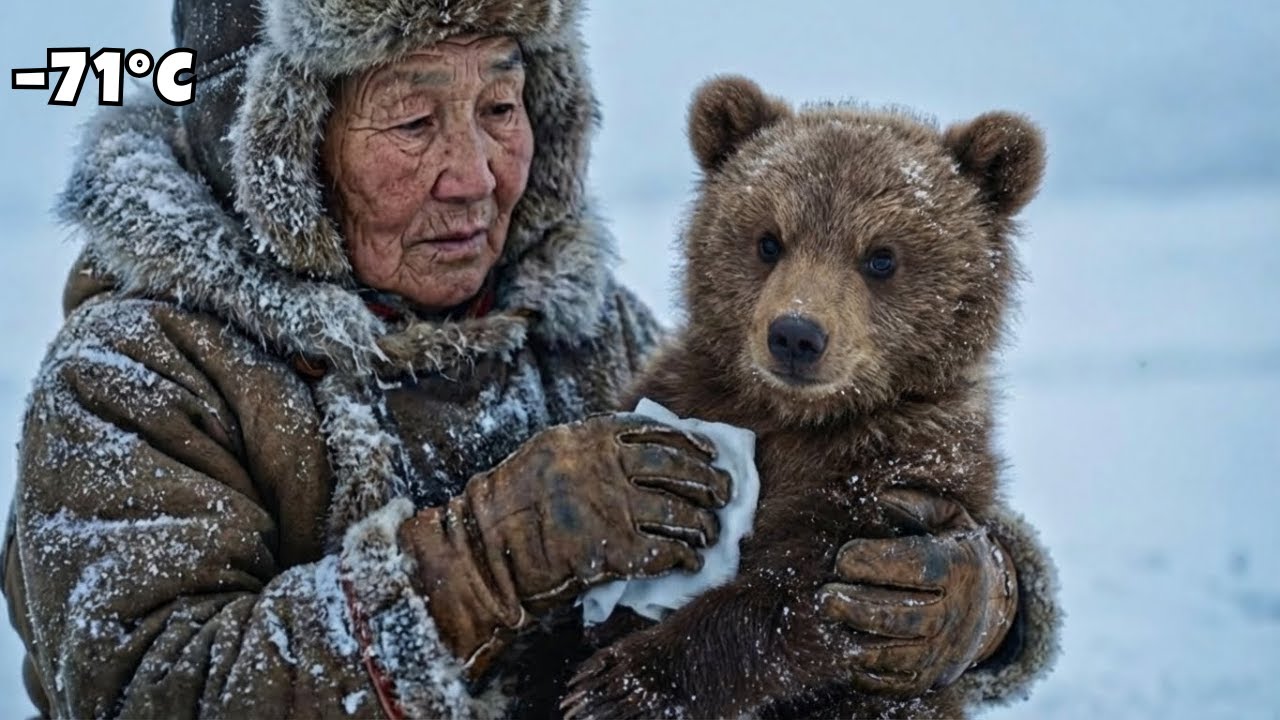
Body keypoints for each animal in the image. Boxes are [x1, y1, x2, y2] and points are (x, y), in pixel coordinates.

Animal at [557, 75, 1045, 720]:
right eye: (769, 241)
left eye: (881, 256)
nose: (795, 333)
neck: (795, 417)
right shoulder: (686, 394)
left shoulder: (901, 475)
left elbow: (811, 592)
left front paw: (622, 685)